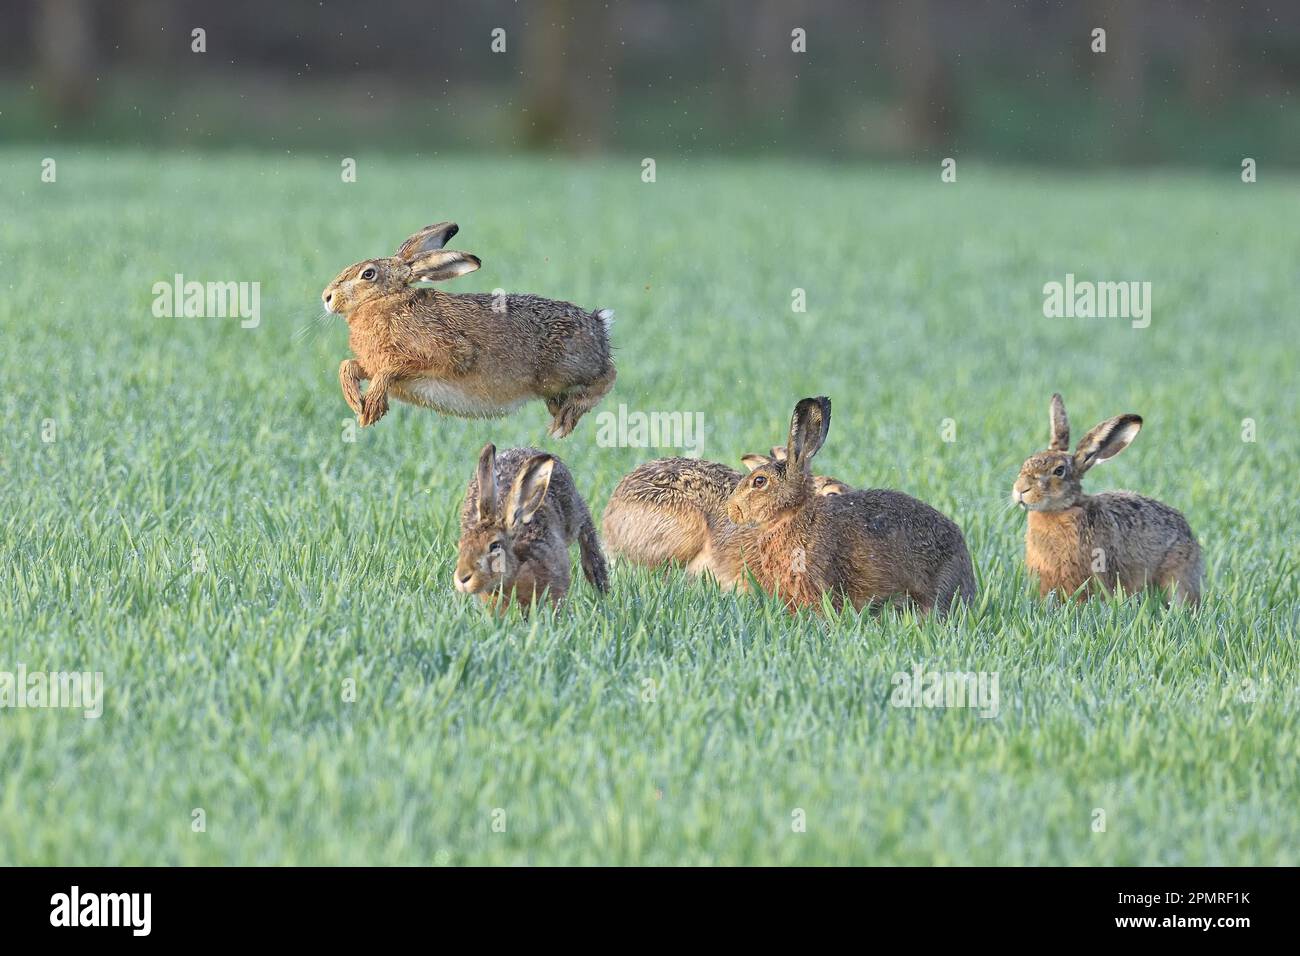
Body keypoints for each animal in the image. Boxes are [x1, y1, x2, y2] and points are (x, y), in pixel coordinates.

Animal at [324, 222, 616, 437]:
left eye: (368, 274)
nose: (327, 297)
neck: (389, 302)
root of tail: (597, 324)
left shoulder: (446, 354)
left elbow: (391, 370)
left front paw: (371, 407)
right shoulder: (369, 364)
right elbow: (348, 366)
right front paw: (357, 403)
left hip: (566, 369)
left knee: (608, 376)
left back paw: (565, 421)